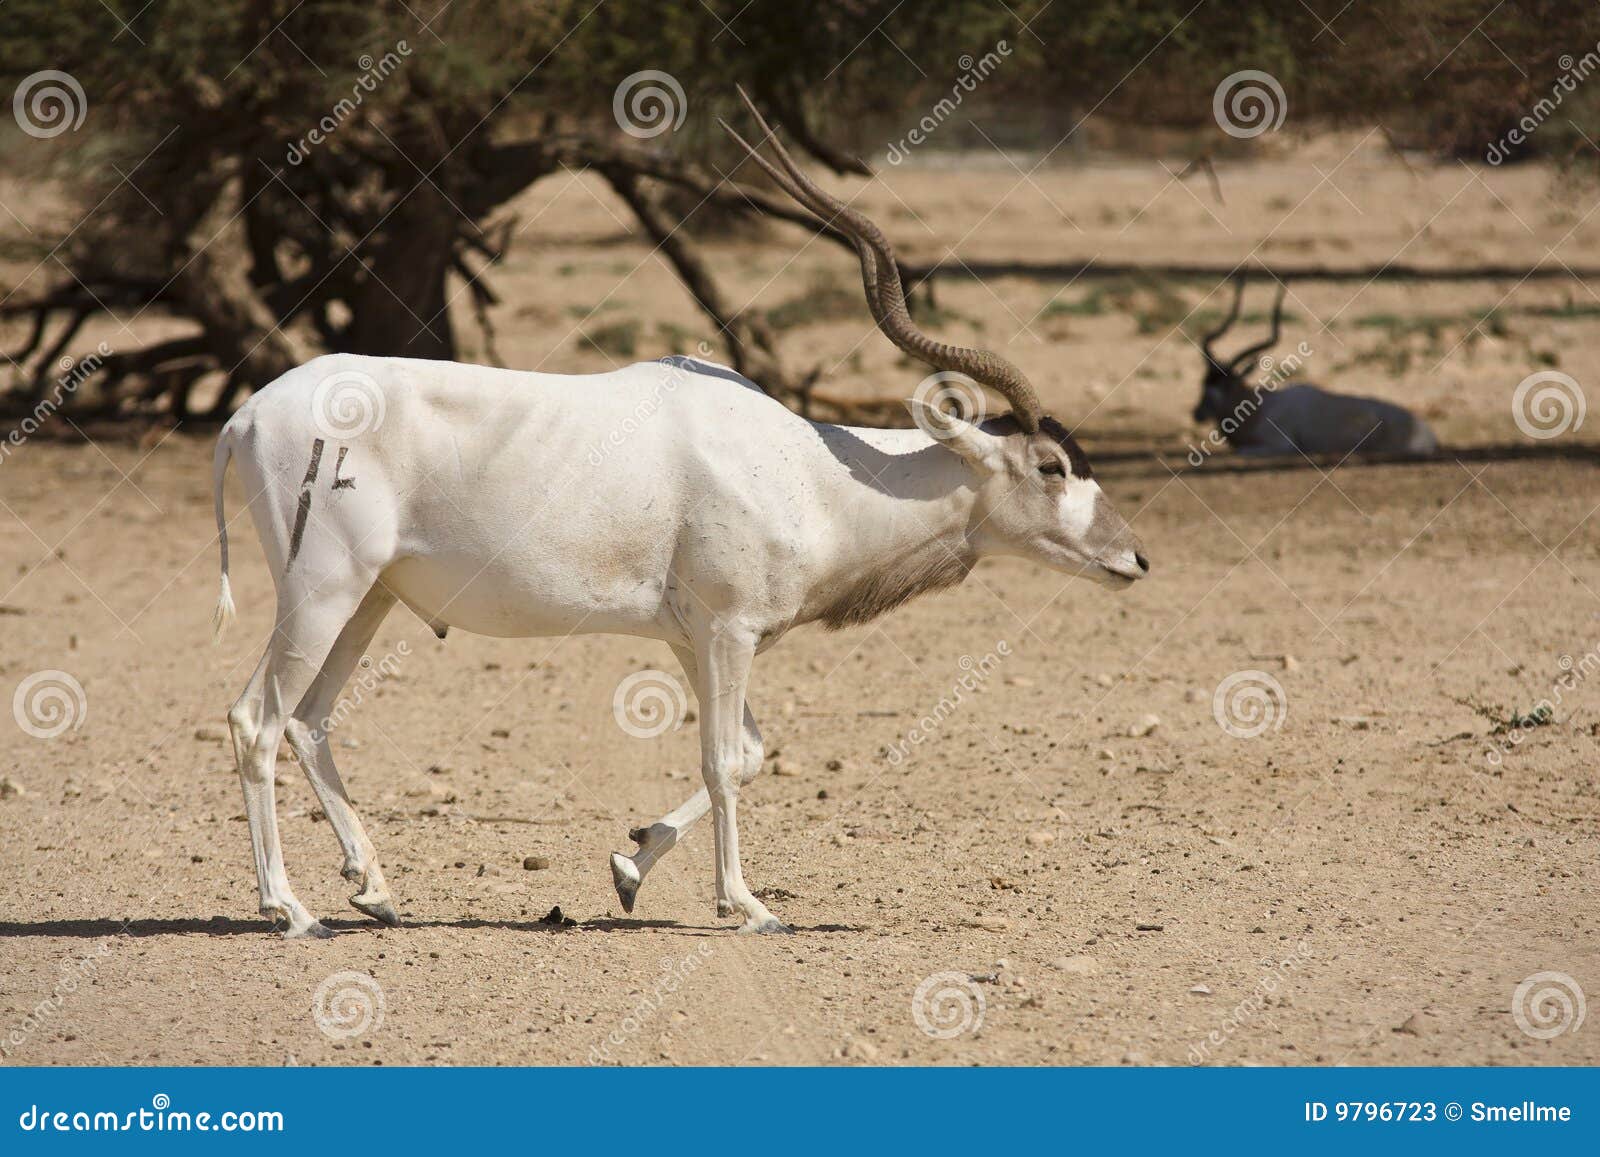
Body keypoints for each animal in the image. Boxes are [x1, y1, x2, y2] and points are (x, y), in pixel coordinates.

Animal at [209, 92, 1148, 938]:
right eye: (1051, 464)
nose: (1134, 559)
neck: (815, 472)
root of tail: (245, 415)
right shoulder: (730, 631)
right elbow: (725, 760)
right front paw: (747, 904)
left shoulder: (691, 637)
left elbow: (750, 753)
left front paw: (630, 865)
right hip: (323, 590)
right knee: (258, 719)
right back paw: (291, 909)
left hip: (370, 597)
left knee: (310, 719)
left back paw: (371, 888)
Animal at [1194, 275, 1438, 457]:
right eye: (1203, 382)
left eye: (1226, 385)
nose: (1197, 413)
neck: (1260, 408)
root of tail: (1427, 432)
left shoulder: (1280, 444)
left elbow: (1239, 451)